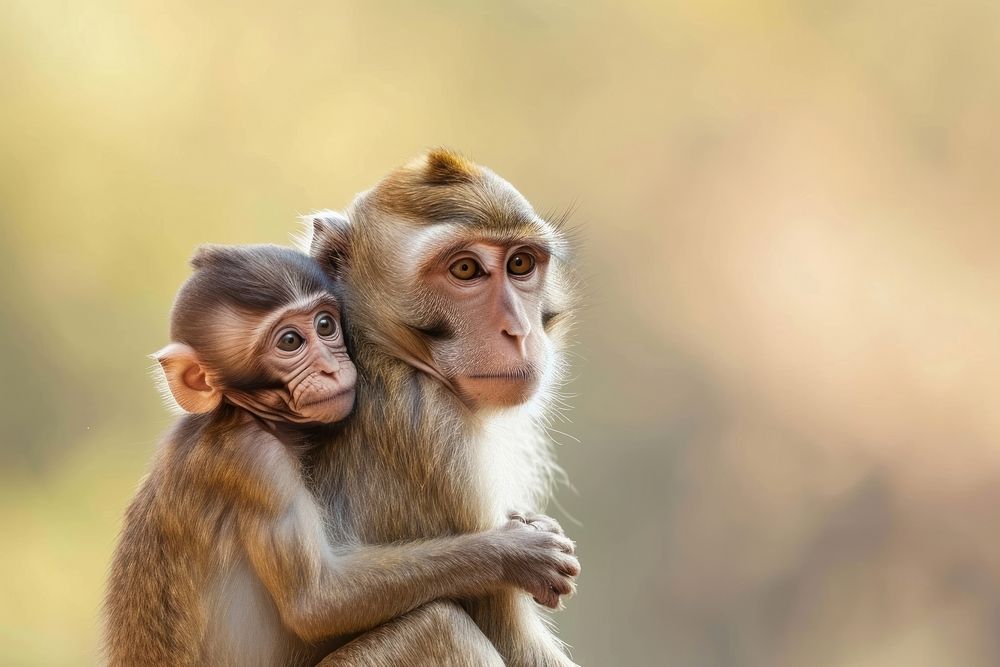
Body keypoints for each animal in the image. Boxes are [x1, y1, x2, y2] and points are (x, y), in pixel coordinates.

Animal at [103, 243, 580, 667]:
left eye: (326, 325)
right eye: (290, 341)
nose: (332, 368)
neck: (242, 415)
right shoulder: (256, 464)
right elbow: (315, 603)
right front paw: (515, 554)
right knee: (437, 626)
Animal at [305, 148, 582, 666]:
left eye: (520, 263)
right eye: (466, 270)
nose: (519, 331)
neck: (381, 349)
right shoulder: (435, 431)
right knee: (438, 626)